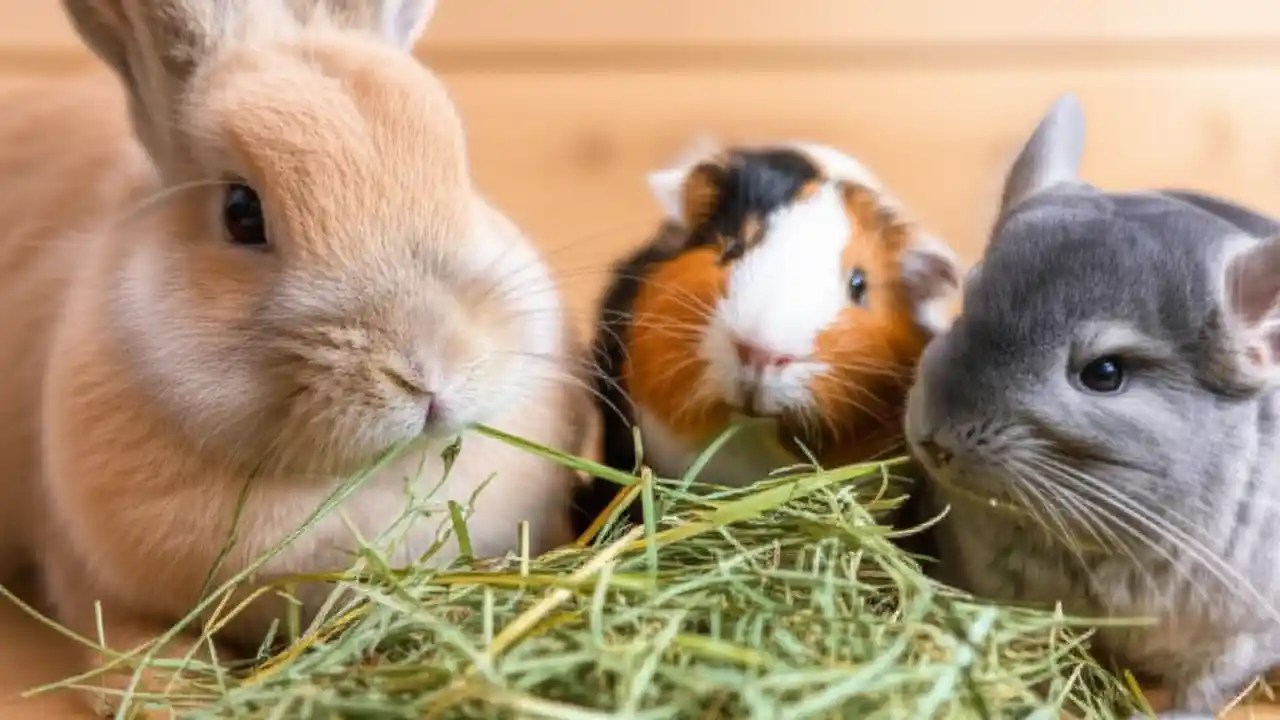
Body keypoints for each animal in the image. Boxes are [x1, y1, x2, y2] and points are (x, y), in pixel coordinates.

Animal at [0, 1, 591, 714]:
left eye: (464, 173)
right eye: (241, 212)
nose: (429, 368)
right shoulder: (92, 581)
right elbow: (133, 643)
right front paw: (177, 693)